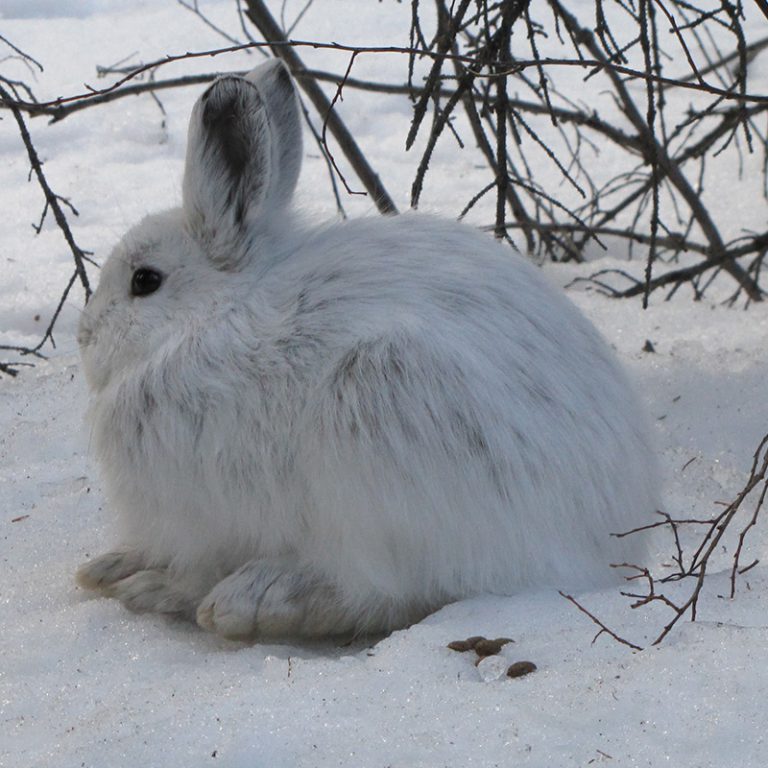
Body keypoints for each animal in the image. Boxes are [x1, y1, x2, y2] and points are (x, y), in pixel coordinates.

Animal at [76, 58, 660, 642]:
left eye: (145, 281)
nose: (84, 336)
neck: (212, 314)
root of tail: (602, 550)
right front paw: (111, 565)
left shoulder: (210, 514)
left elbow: (197, 566)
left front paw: (155, 587)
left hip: (380, 426)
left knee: (388, 592)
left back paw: (254, 599)